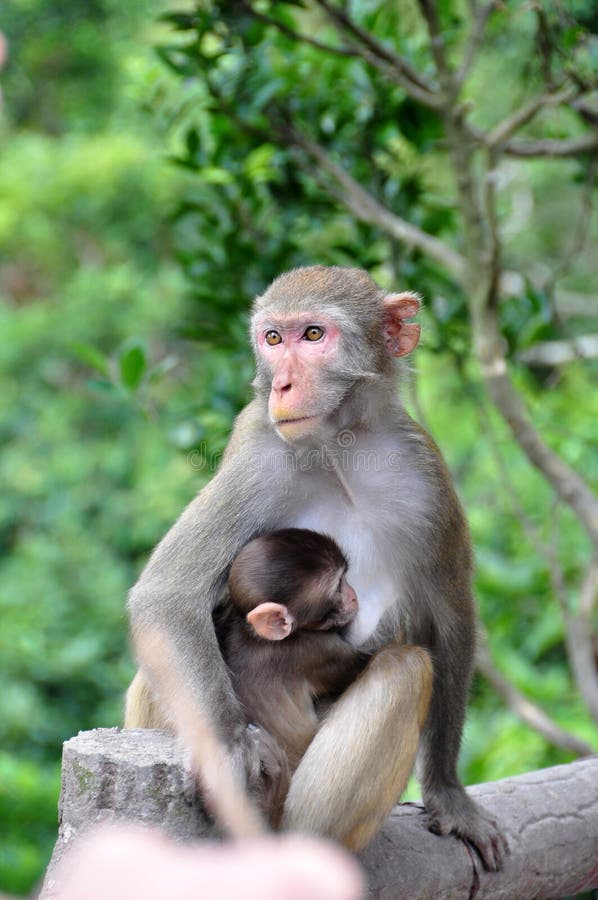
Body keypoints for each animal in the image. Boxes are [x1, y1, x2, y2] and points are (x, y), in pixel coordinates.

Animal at [125, 265, 508, 869]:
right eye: (272, 339)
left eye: (312, 335)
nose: (281, 384)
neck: (340, 446)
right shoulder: (259, 458)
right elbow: (168, 594)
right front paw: (231, 743)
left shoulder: (426, 473)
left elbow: (448, 621)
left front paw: (449, 794)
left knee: (407, 668)